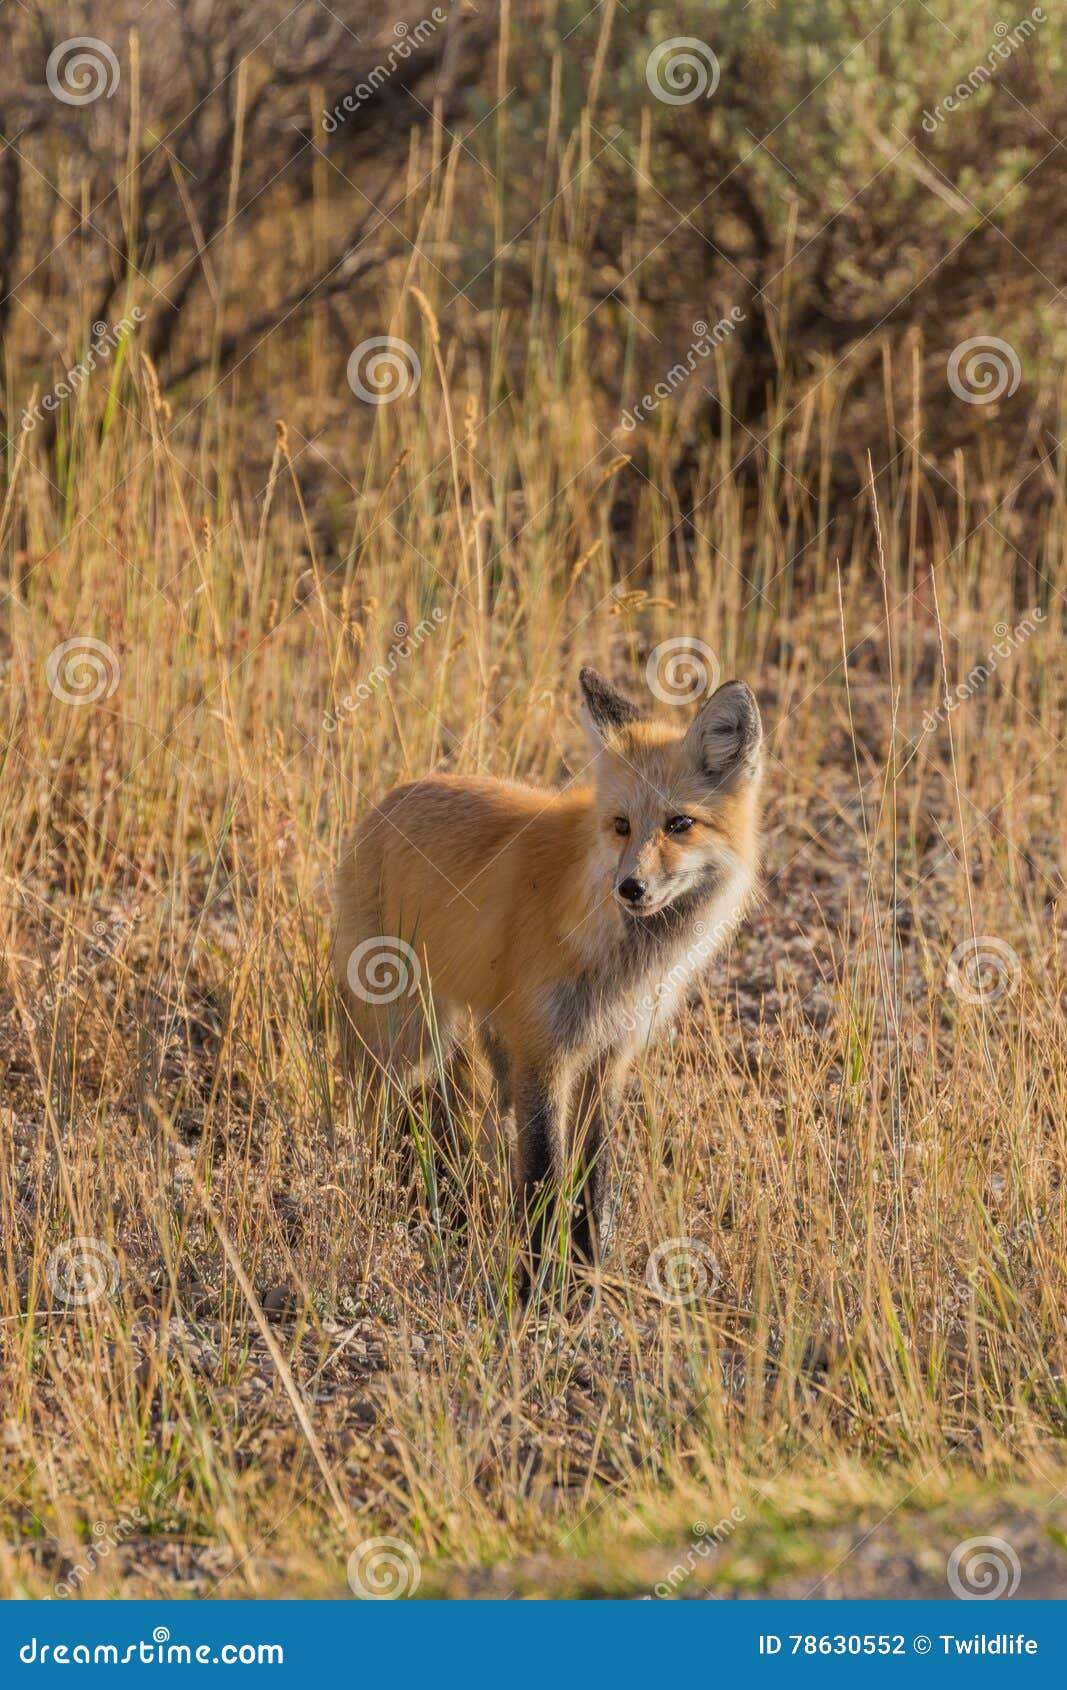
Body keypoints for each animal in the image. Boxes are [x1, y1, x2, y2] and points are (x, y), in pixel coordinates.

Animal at [332, 666, 763, 1282]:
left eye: (681, 824)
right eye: (621, 825)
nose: (630, 888)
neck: (619, 961)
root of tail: (391, 796)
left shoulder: (607, 1057)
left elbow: (593, 1184)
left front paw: (590, 1272)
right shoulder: (544, 1053)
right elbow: (544, 1179)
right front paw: (540, 1283)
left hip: (484, 1038)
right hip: (410, 1038)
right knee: (372, 1107)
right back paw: (374, 1191)